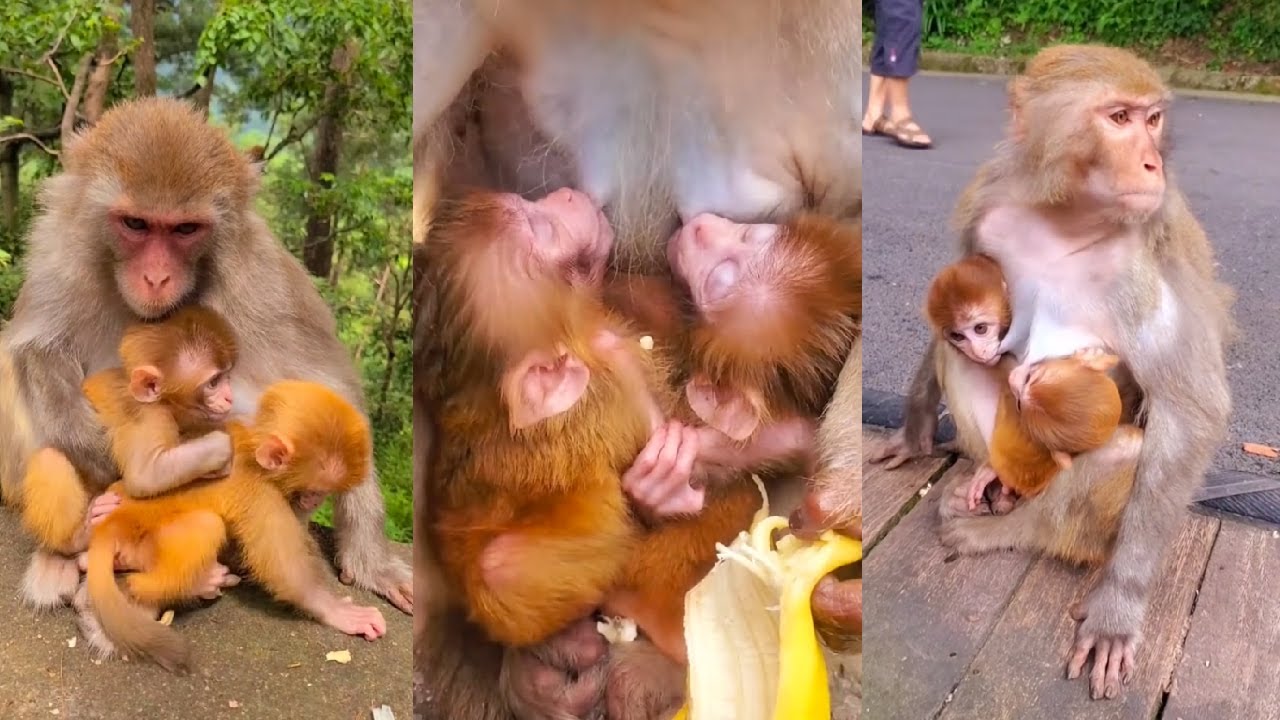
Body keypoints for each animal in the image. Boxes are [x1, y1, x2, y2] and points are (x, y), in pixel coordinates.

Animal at [0, 97, 409, 614]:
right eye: (136, 224)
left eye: (185, 229)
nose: (157, 277)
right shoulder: (59, 249)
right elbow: (37, 347)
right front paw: (95, 449)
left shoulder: (258, 275)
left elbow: (330, 387)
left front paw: (372, 560)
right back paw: (69, 545)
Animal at [79, 380, 385, 672]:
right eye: (315, 489)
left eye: (323, 492)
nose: (316, 501)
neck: (252, 448)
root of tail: (110, 526)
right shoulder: (258, 492)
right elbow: (284, 569)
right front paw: (336, 611)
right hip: (138, 537)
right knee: (207, 525)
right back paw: (155, 585)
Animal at [868, 45, 1232, 700]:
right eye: (1119, 118)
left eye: (1153, 119)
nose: (1151, 163)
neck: (1070, 217)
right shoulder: (989, 203)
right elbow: (947, 314)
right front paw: (911, 437)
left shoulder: (1144, 263)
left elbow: (1191, 410)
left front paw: (1117, 610)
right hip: (1009, 447)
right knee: (958, 364)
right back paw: (988, 479)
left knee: (1125, 455)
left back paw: (1014, 529)